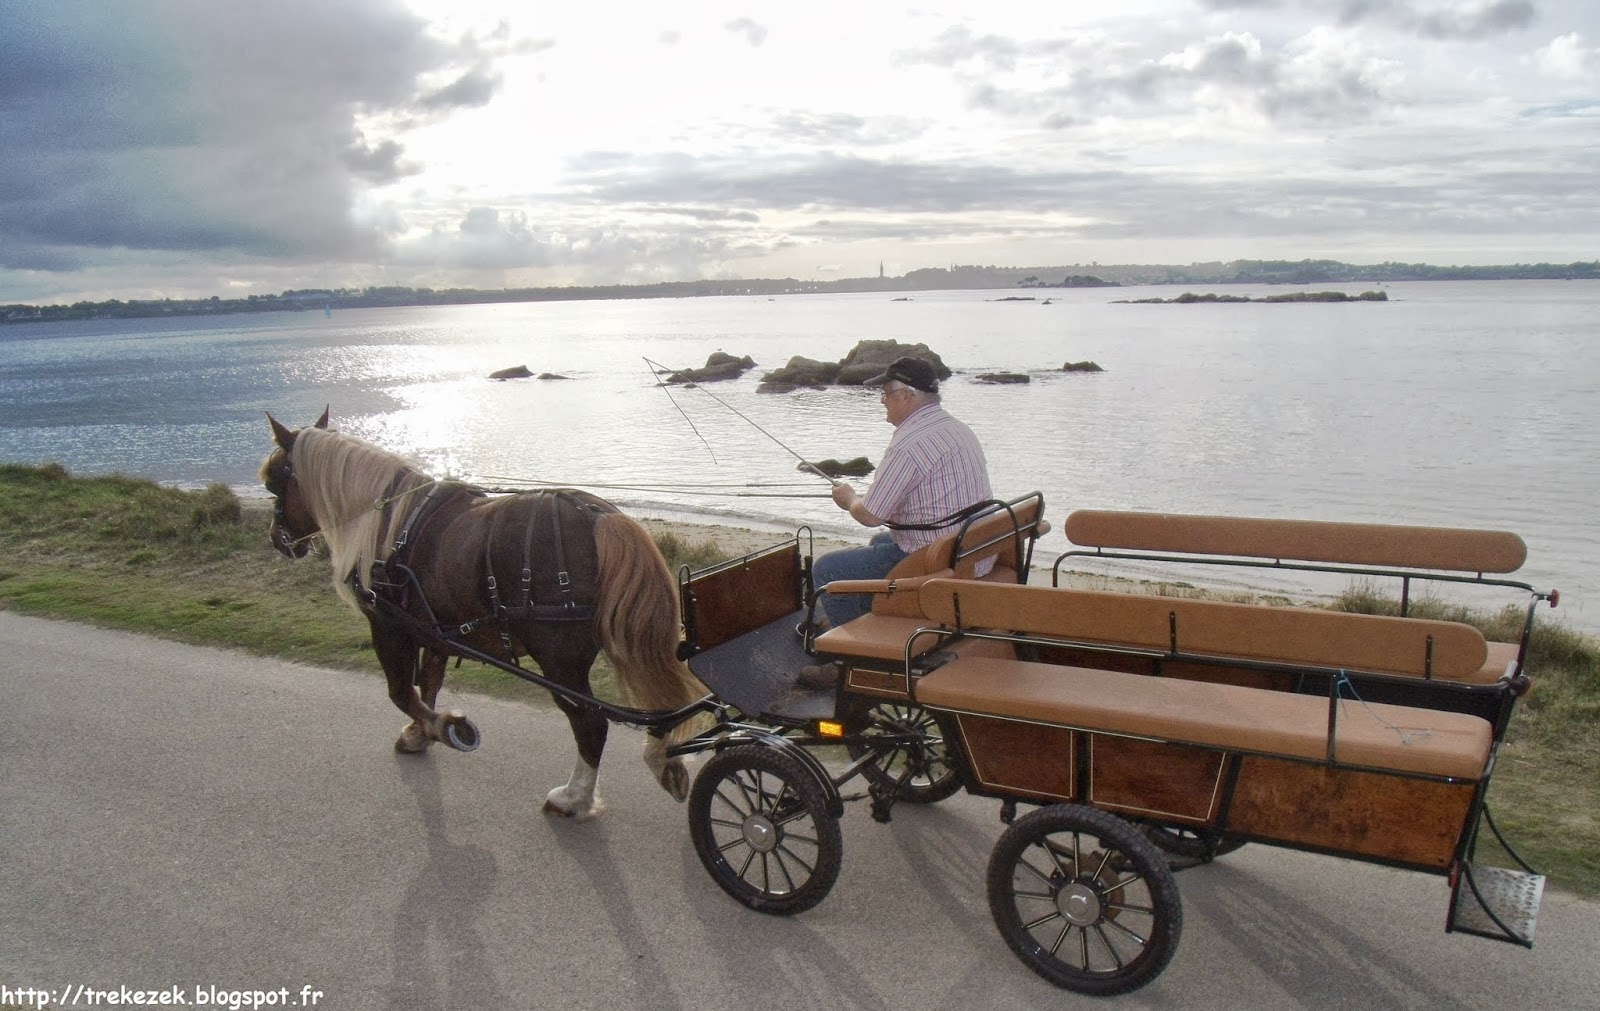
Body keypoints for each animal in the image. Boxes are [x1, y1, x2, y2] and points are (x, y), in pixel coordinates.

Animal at [260, 410, 705, 820]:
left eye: (274, 483)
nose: (277, 539)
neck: (388, 522)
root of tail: (598, 514)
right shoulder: (432, 631)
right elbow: (429, 684)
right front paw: (419, 733)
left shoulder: (388, 627)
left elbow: (402, 692)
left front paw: (443, 727)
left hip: (559, 662)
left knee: (590, 723)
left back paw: (573, 797)